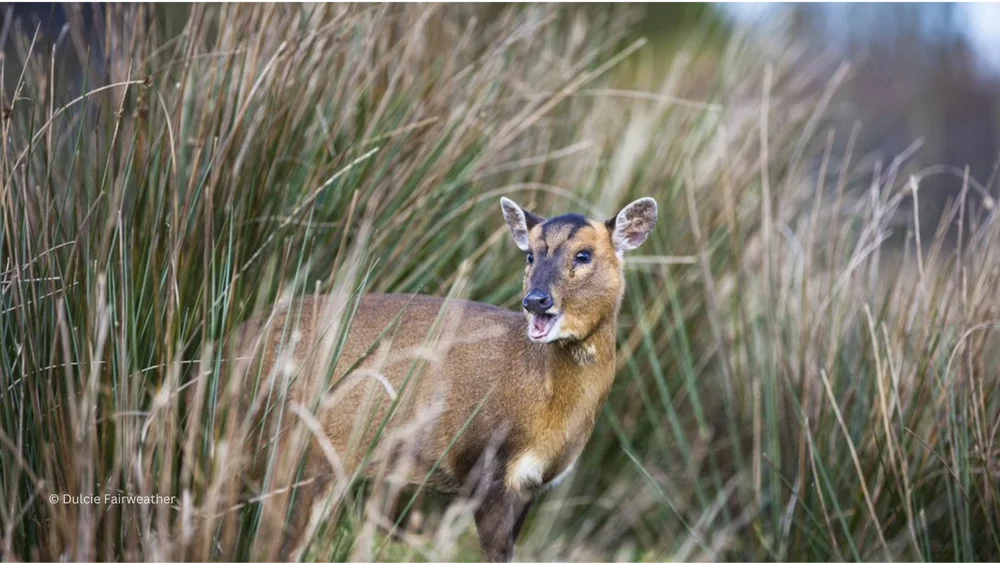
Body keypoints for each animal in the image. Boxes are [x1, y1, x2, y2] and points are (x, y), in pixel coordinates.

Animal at [228, 196, 658, 562]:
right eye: (530, 254)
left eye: (584, 254)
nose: (536, 300)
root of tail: (239, 337)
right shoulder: (487, 467)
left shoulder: (532, 486)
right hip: (301, 451)